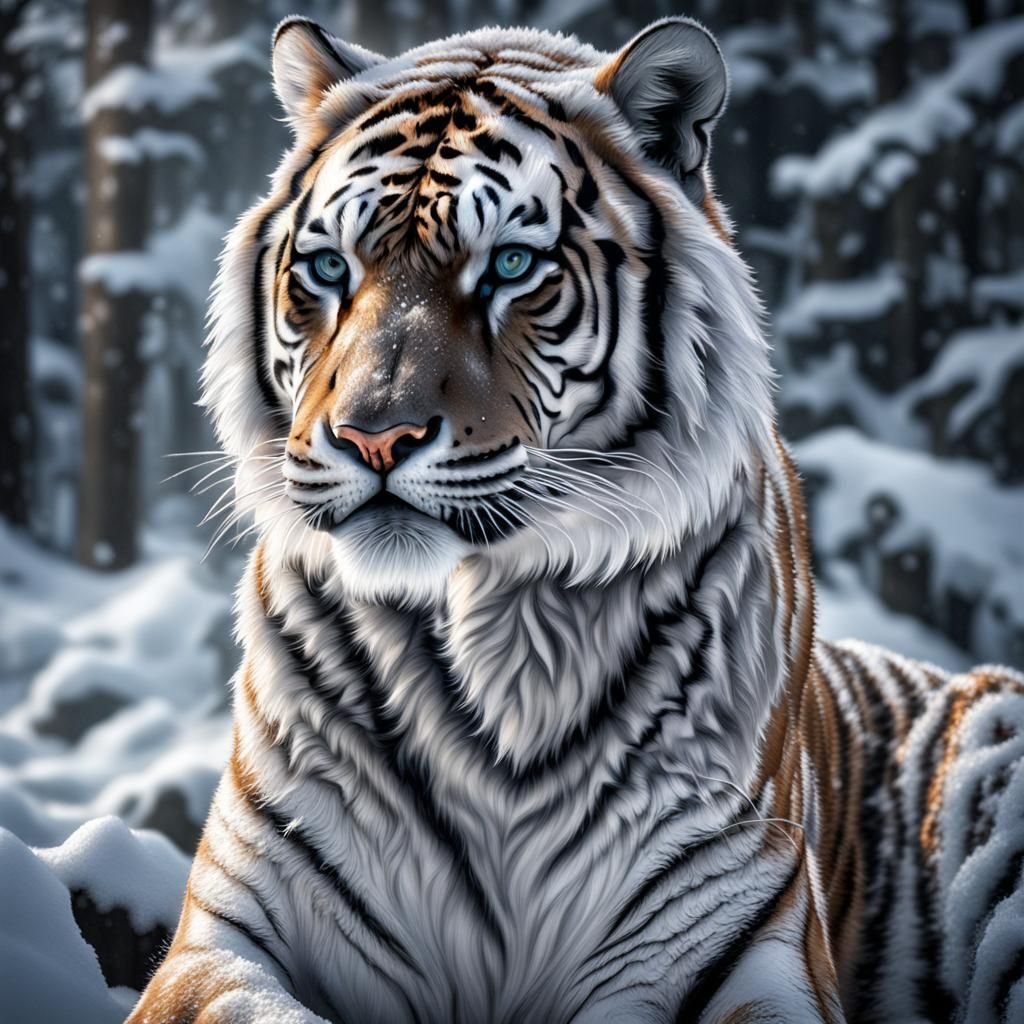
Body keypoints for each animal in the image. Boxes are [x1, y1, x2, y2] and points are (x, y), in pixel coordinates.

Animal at [128, 15, 1024, 1024]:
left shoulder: (755, 952)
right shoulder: (219, 940)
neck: (501, 647)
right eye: (328, 268)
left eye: (512, 266)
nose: (373, 435)